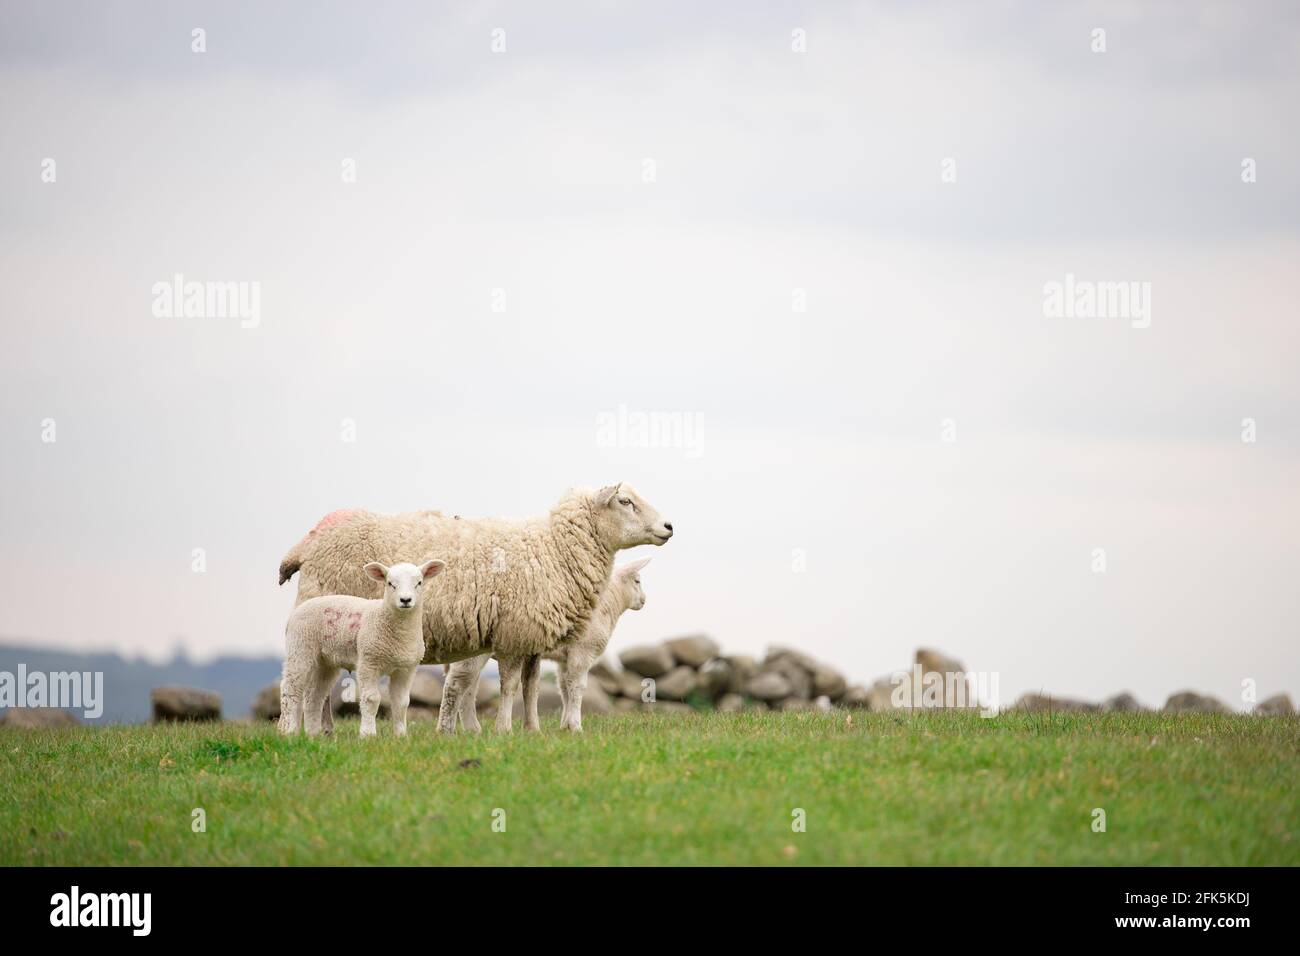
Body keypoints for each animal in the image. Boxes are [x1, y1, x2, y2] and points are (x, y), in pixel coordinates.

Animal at [279, 559, 444, 738]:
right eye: (390, 583)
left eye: (419, 583)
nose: (405, 600)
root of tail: (296, 611)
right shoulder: (368, 662)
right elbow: (372, 699)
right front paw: (368, 734)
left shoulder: (406, 669)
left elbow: (401, 702)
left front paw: (401, 735)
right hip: (300, 648)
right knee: (291, 689)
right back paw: (289, 731)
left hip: (324, 662)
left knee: (314, 696)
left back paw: (313, 735)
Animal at [447, 557, 650, 733]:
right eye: (637, 581)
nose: (644, 601)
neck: (609, 604)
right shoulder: (582, 651)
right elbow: (578, 687)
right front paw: (576, 727)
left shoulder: (564, 659)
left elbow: (565, 688)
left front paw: (565, 726)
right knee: (461, 681)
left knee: (469, 685)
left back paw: (471, 729)